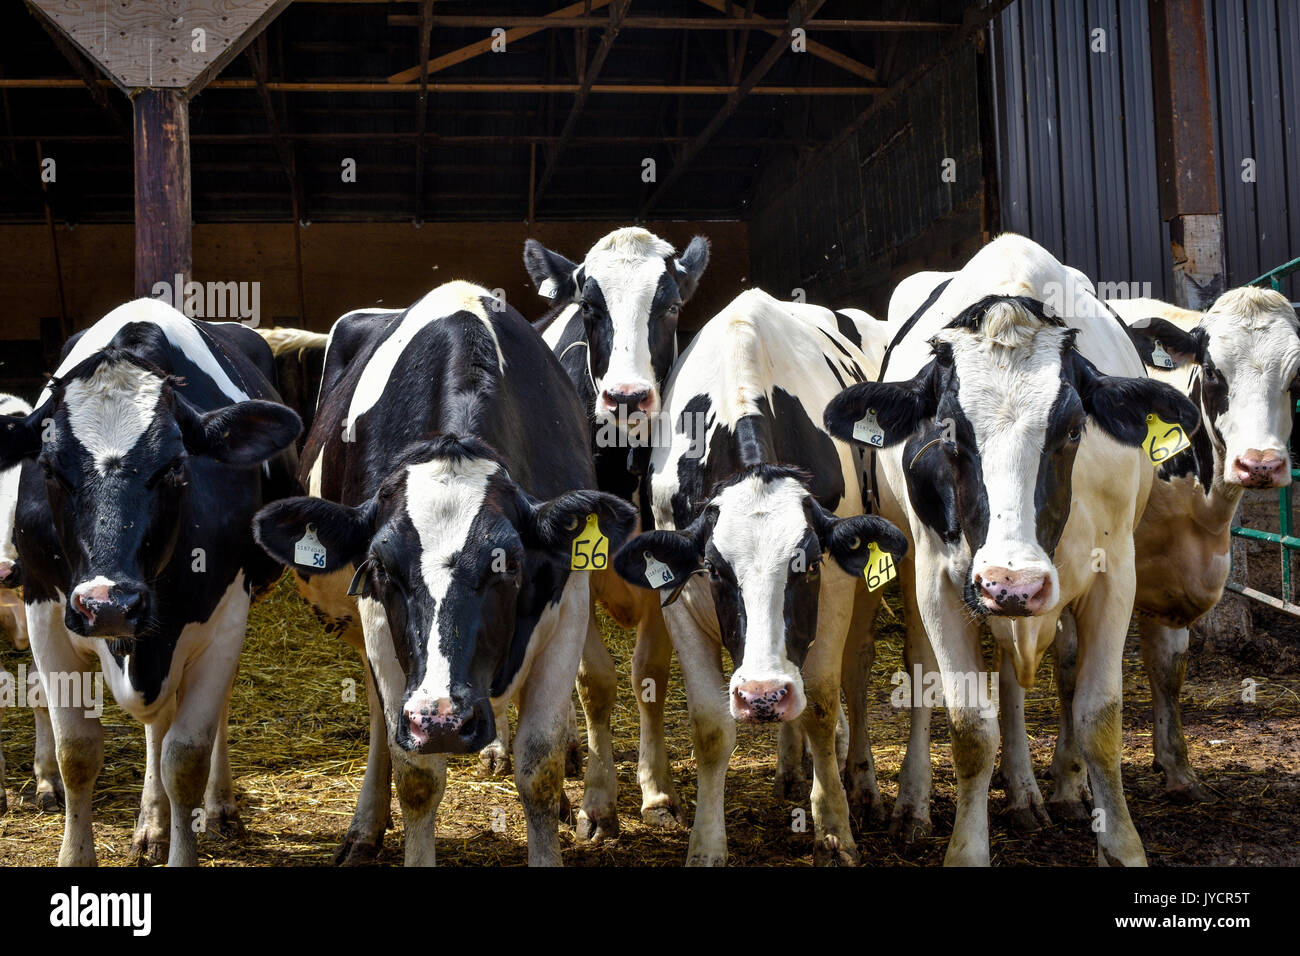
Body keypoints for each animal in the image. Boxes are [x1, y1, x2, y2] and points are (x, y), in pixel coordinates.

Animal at [0, 299, 301, 866]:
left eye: (176, 467)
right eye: (49, 468)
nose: (109, 604)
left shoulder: (224, 619)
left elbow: (185, 758)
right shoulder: (45, 612)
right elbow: (78, 751)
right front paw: (79, 853)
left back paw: (217, 807)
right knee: (155, 723)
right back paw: (153, 823)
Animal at [253, 280, 637, 866]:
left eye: (509, 564)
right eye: (381, 565)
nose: (442, 719)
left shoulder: (566, 604)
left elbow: (540, 766)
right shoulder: (379, 624)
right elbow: (415, 776)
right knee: (378, 721)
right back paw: (365, 827)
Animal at [524, 227, 709, 832]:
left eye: (671, 306)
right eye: (588, 307)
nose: (627, 398)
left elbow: (648, 678)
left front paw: (657, 793)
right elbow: (595, 684)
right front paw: (598, 801)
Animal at [612, 288, 907, 865]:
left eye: (807, 565)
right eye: (716, 570)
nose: (762, 696)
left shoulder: (835, 587)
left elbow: (821, 702)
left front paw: (834, 827)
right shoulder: (681, 598)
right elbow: (710, 725)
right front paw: (705, 844)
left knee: (856, 673)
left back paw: (860, 784)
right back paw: (790, 768)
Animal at [824, 234, 1200, 865]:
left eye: (1073, 429)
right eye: (947, 430)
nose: (1011, 583)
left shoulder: (1114, 576)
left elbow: (1098, 715)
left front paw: (1119, 843)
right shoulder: (938, 582)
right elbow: (970, 727)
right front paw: (965, 847)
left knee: (1015, 681)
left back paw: (1027, 790)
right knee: (927, 671)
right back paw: (914, 801)